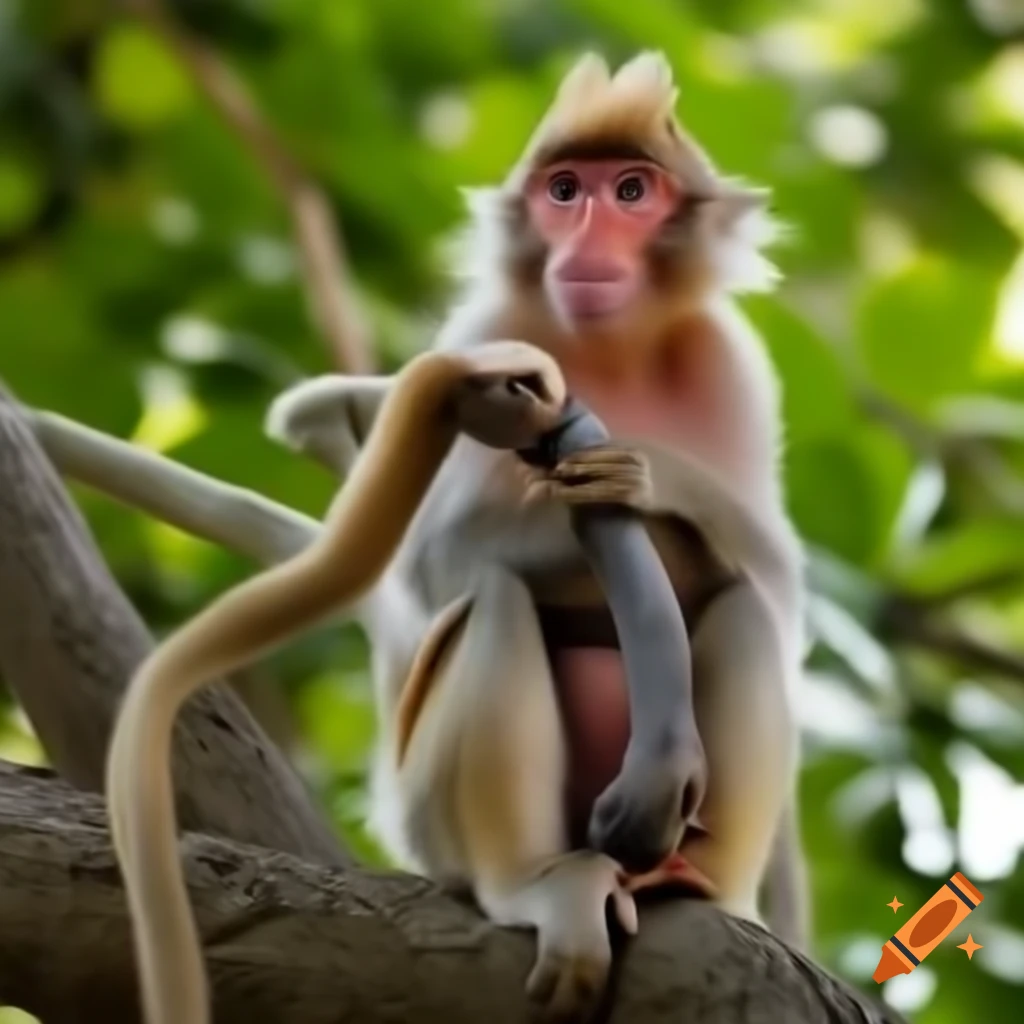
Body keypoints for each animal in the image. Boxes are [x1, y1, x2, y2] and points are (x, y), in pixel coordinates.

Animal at [28, 49, 809, 1023]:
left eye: (631, 191)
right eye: (564, 191)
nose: (588, 237)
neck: (612, 347)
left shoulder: (730, 360)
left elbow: (777, 583)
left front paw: (642, 473)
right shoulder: (484, 334)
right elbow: (436, 563)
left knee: (740, 607)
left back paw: (697, 885)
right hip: (428, 813)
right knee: (494, 605)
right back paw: (540, 885)